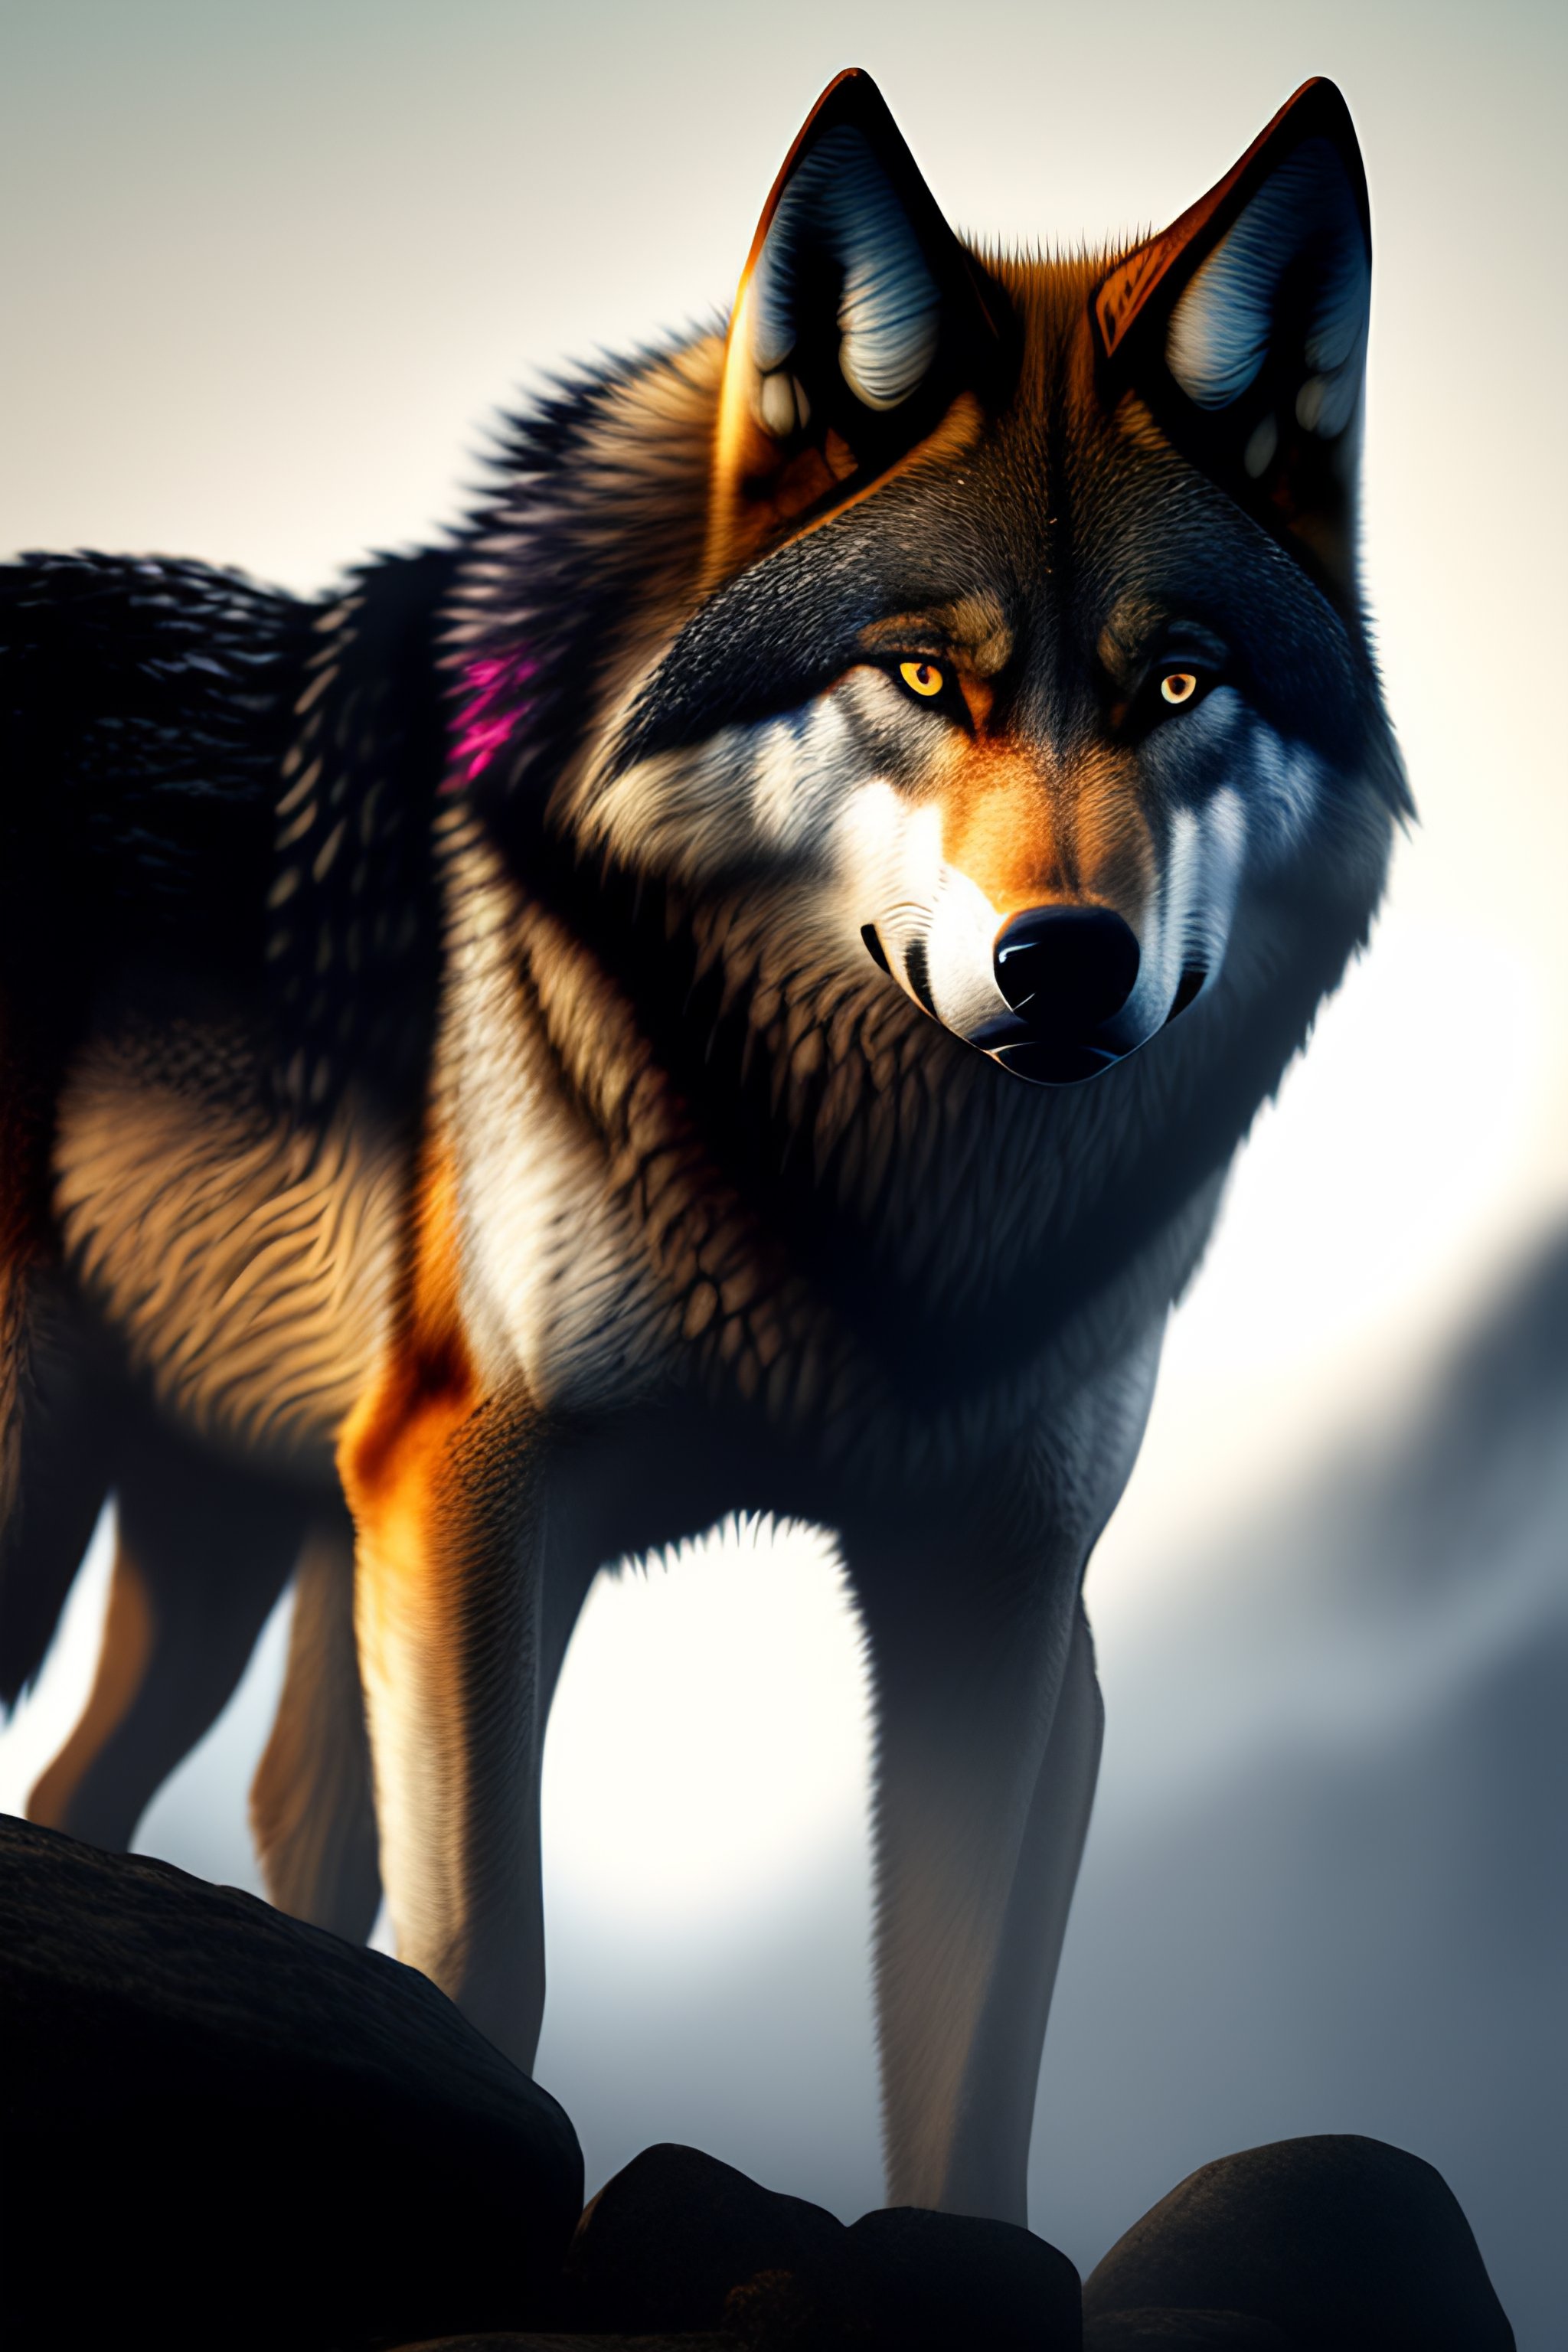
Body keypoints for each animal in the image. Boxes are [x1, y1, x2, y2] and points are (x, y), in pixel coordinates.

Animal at [0, 71, 1404, 2220]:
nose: (1063, 961)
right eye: (921, 673)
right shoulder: (476, 1487)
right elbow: (485, 1953)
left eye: (1178, 680)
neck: (884, 1219)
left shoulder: (996, 1575)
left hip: (233, 1524)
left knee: (109, 1798)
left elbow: (968, 2056)